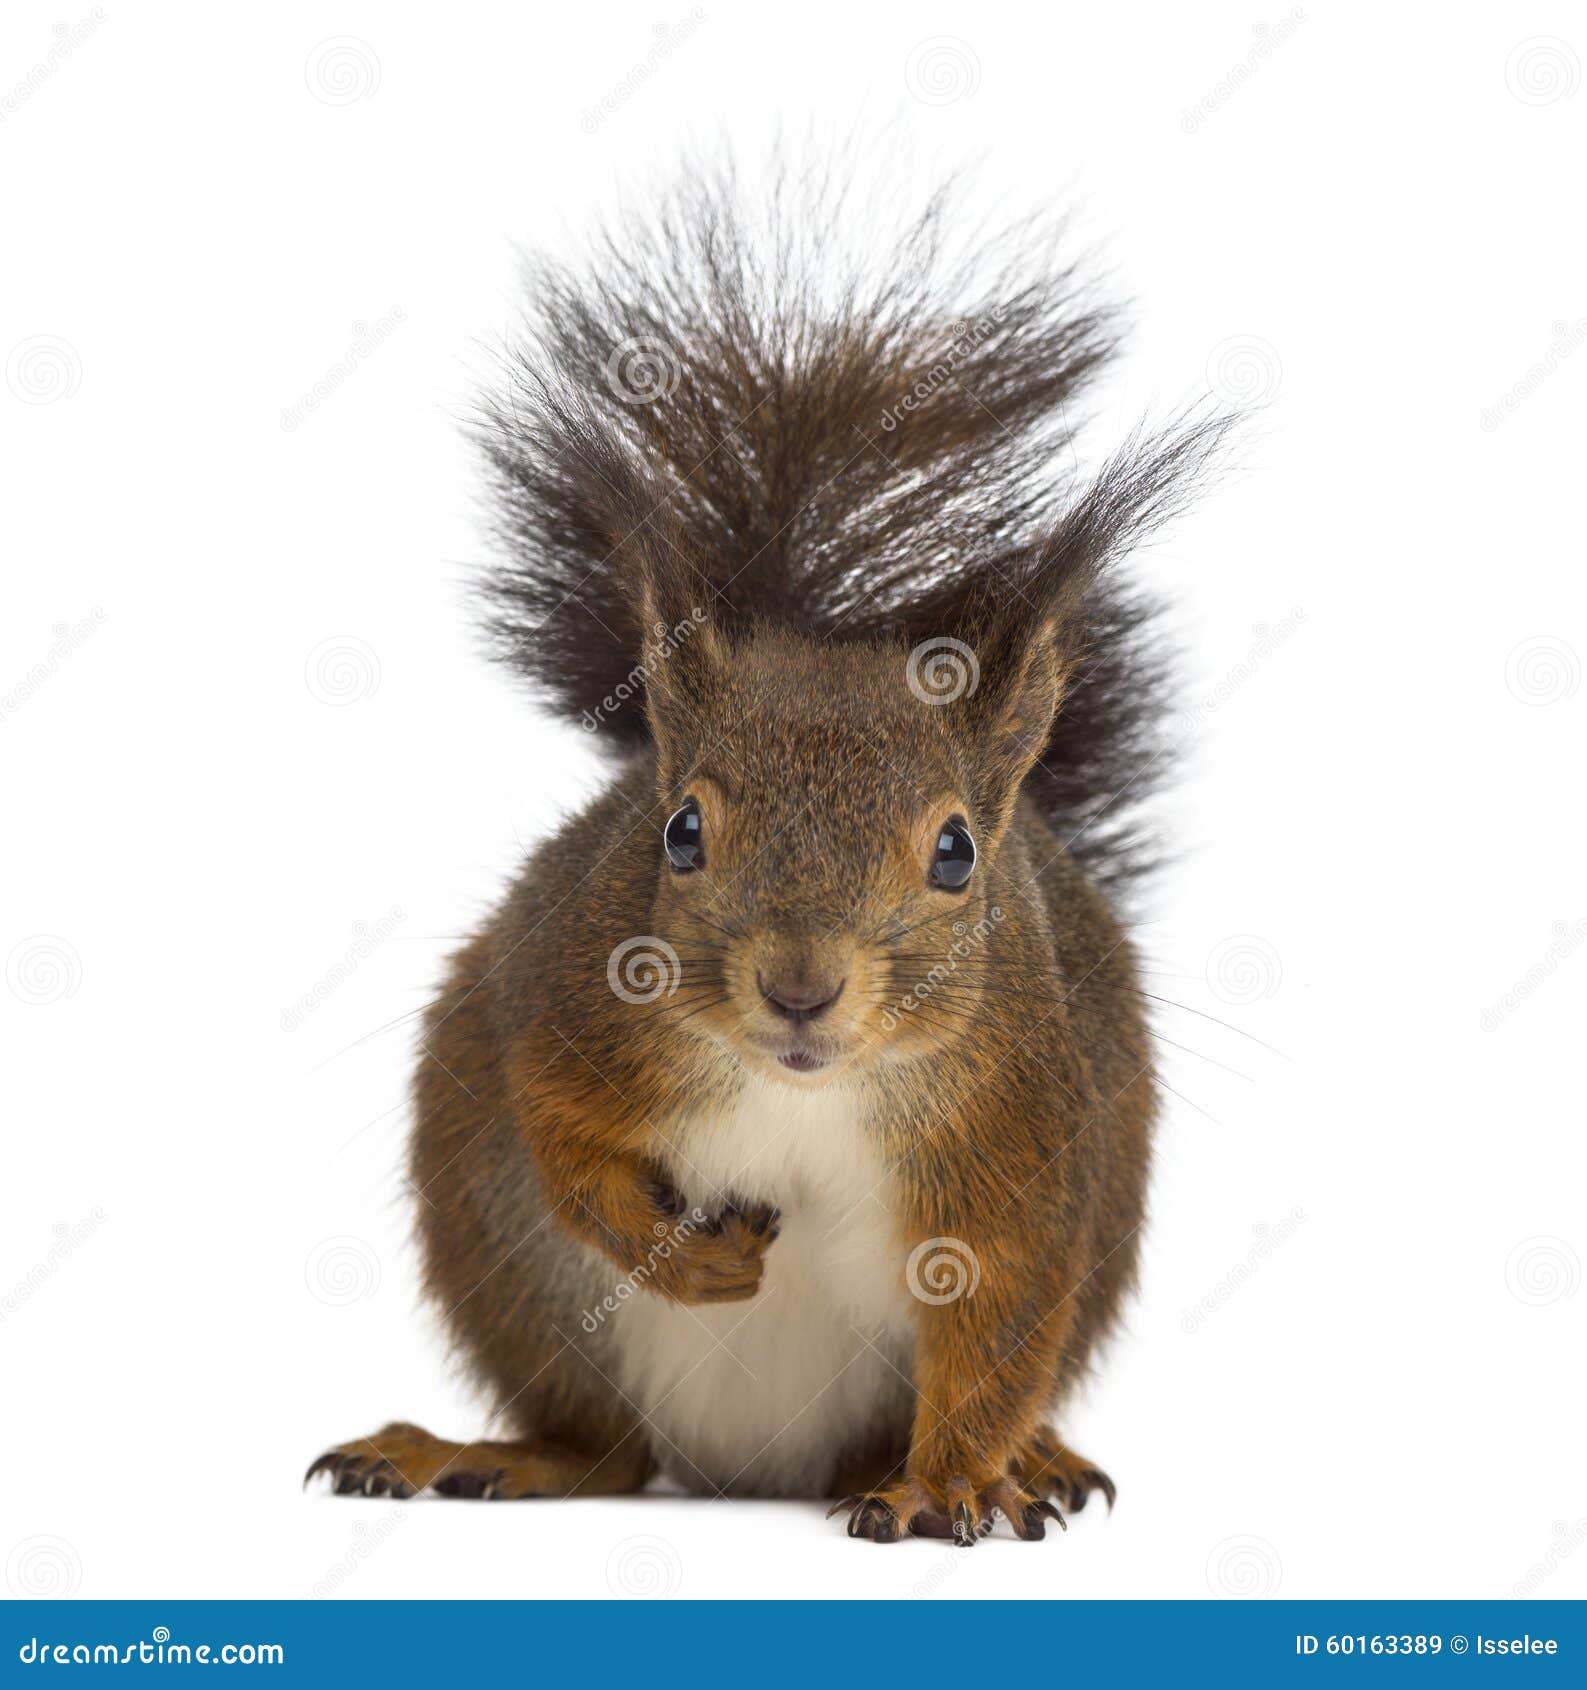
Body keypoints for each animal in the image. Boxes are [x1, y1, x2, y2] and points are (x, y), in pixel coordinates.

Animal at [306, 160, 1228, 1544]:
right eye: (679, 829)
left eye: (957, 852)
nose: (800, 987)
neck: (805, 1089)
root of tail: (754, 1468)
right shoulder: (565, 999)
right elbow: (563, 1137)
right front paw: (690, 1254)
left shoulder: (1023, 1132)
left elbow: (1000, 1318)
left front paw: (953, 1483)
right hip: (505, 1252)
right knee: (602, 1449)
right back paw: (479, 1455)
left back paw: (1016, 1461)